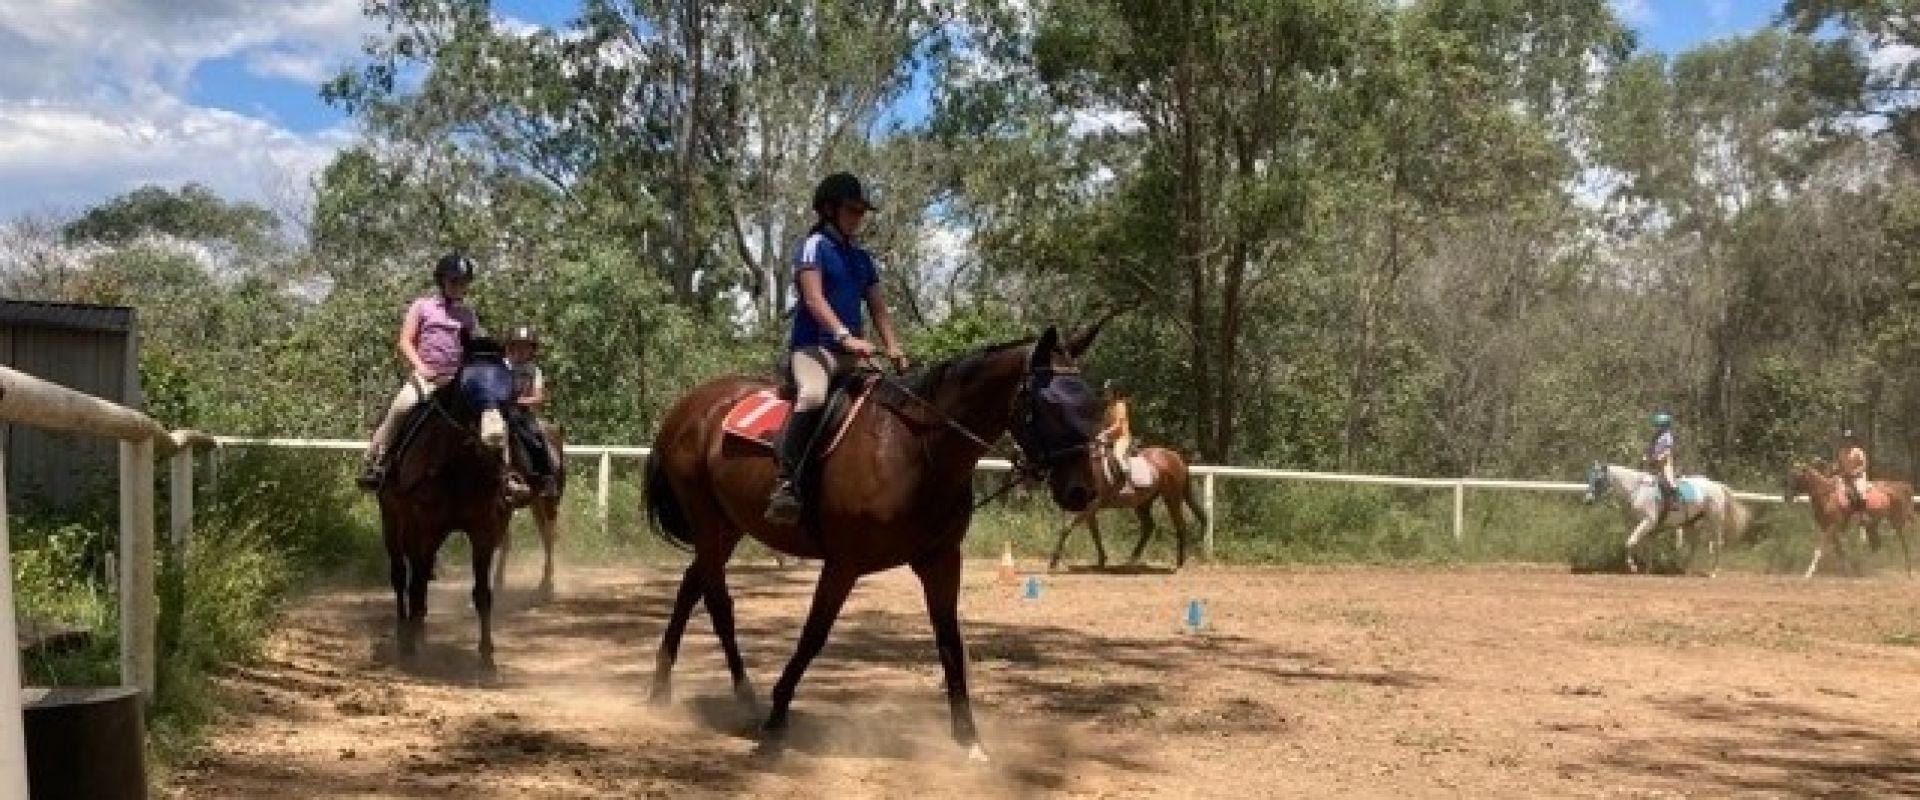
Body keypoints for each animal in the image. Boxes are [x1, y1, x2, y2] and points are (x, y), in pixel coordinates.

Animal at [376, 341, 519, 672]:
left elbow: (482, 594)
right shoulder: (424, 530)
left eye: (509, 386)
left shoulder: (484, 531)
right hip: (392, 520)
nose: (494, 436)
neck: (458, 467)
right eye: (467, 388)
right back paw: (405, 637)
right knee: (401, 577)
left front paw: (487, 657)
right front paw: (412, 651)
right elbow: (415, 587)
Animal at [644, 324, 1106, 762]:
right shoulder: (843, 563)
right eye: (1048, 404)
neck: (917, 449)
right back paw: (745, 699)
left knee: (692, 586)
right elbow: (813, 636)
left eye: (1091, 404)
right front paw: (777, 721)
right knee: (718, 602)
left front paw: (968, 739)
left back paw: (661, 688)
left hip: (728, 525)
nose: (1082, 491)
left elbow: (949, 640)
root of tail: (688, 406)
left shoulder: (941, 560)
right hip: (708, 521)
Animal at [1047, 444, 1207, 570]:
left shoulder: (1091, 506)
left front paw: (1053, 561)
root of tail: (1176, 457)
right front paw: (1101, 560)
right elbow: (1095, 533)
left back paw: (1179, 563)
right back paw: (1132, 559)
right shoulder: (1091, 509)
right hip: (1142, 503)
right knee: (1149, 527)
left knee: (1180, 525)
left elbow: (1067, 528)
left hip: (1171, 498)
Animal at [1584, 462, 1750, 576]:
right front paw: (1647, 568)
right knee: (1694, 544)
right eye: (1589, 478)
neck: (1636, 490)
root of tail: (1716, 485)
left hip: (1714, 522)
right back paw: (1686, 569)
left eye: (1598, 480)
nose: (1588, 500)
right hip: (1691, 523)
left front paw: (1634, 567)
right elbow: (1639, 545)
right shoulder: (1635, 524)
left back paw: (1713, 572)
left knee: (1717, 544)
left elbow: (1631, 542)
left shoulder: (1647, 522)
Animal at [1782, 463, 1913, 578]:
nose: (1787, 497)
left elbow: (1820, 549)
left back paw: (1909, 572)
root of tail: (1900, 487)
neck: (1827, 495)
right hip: (1874, 523)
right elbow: (1839, 550)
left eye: (1797, 477)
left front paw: (1808, 573)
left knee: (1904, 543)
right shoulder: (1827, 528)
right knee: (1877, 545)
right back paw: (1862, 567)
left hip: (1896, 521)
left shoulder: (1832, 527)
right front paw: (1846, 571)